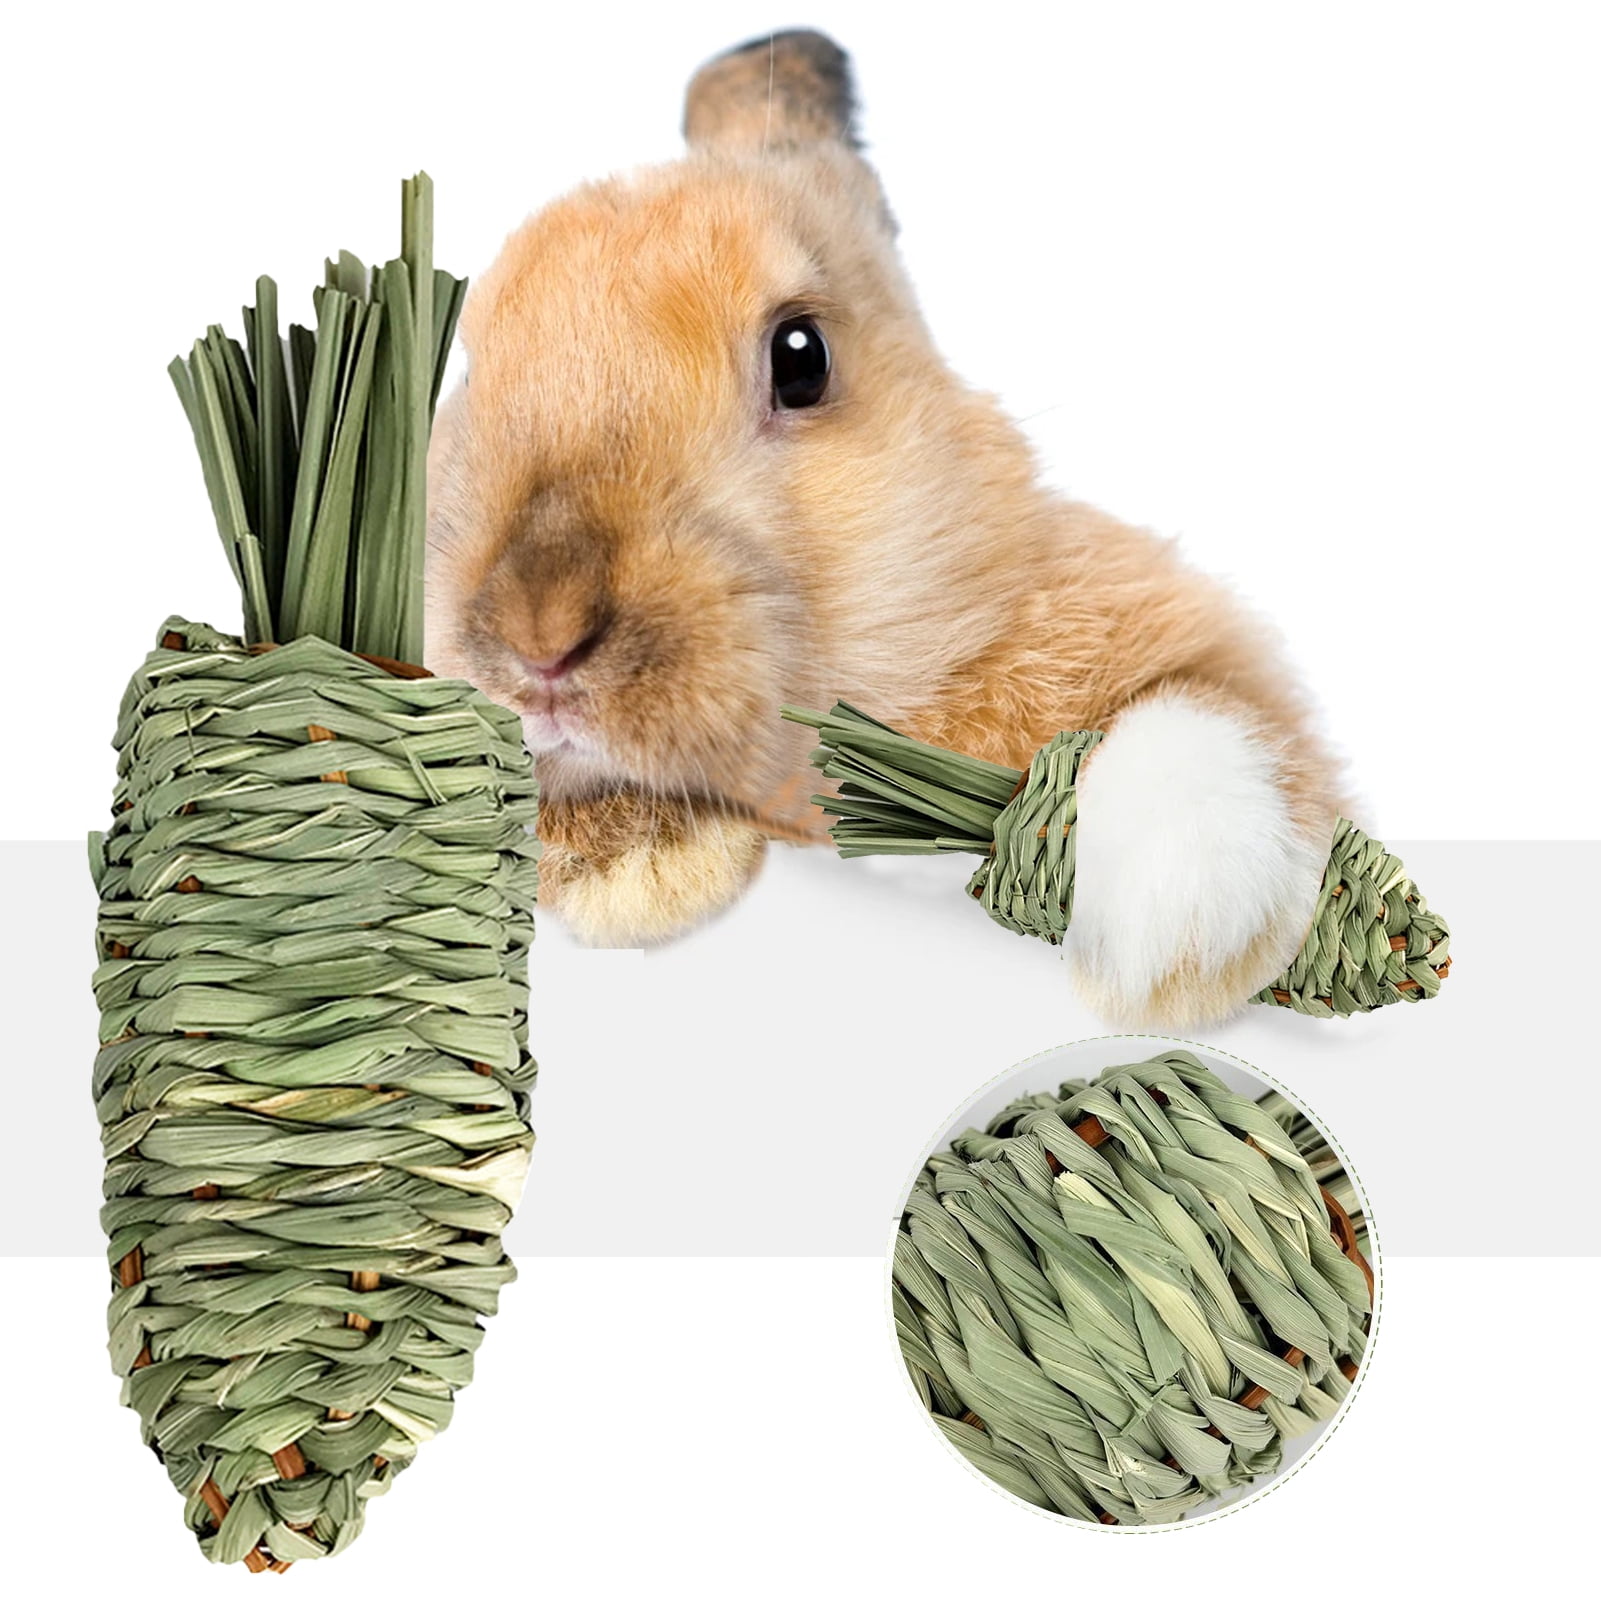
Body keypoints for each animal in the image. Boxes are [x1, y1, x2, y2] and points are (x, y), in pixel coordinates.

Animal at [426, 29, 1343, 1029]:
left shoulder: (1204, 650)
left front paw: (1166, 949)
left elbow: (1210, 720)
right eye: (467, 372)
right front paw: (639, 877)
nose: (538, 638)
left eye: (801, 357)